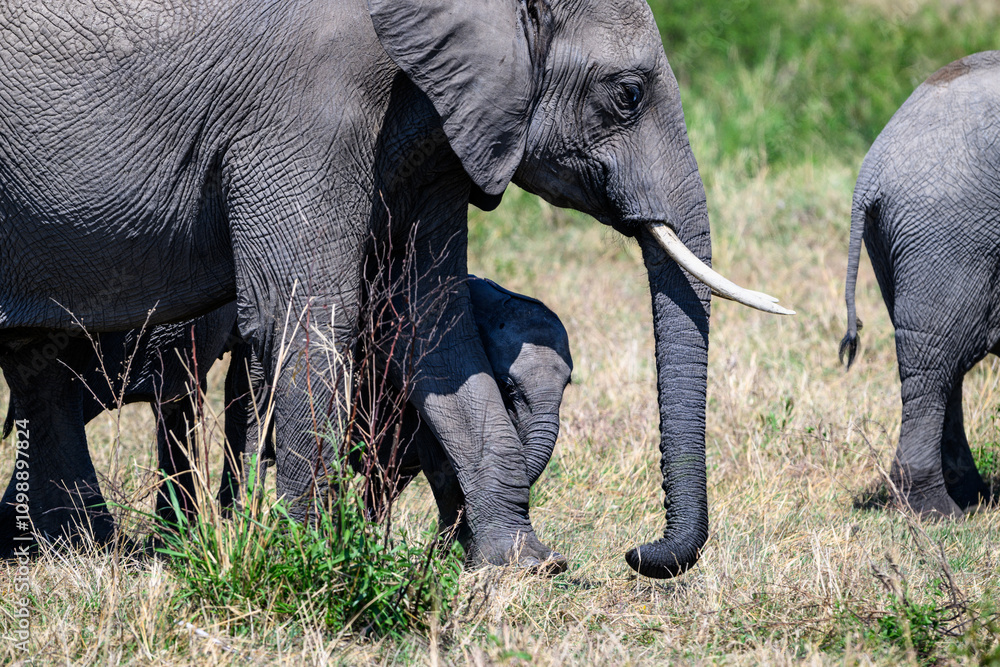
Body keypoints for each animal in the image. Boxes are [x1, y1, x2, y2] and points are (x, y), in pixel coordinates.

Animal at [0, 0, 788, 577]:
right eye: (626, 95)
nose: (636, 552)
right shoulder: (304, 105)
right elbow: (303, 311)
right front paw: (310, 563)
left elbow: (432, 321)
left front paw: (524, 568)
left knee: (39, 366)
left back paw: (70, 551)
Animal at [841, 51, 1000, 518]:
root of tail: (871, 170)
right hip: (950, 229)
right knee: (934, 361)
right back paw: (938, 512)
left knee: (944, 360)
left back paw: (970, 497)